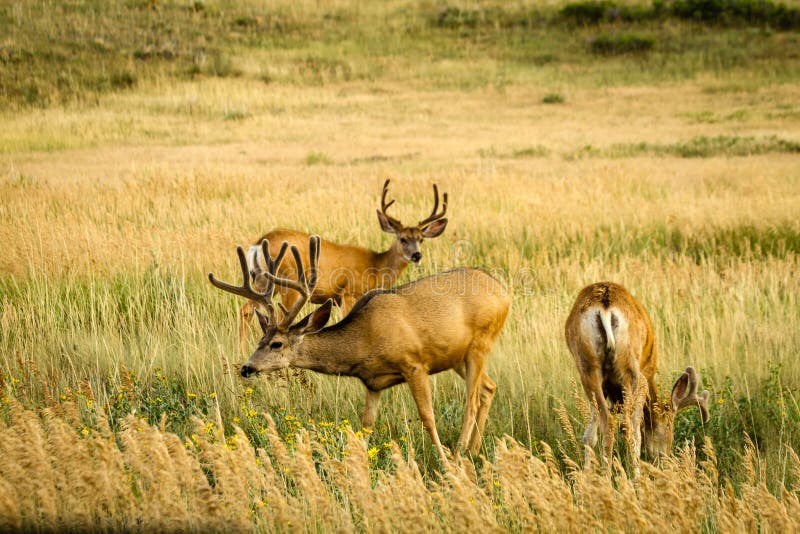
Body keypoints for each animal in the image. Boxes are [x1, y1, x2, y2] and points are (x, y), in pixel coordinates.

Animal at [209, 235, 510, 463]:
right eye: (259, 340)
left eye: (277, 343)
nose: (247, 368)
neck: (364, 340)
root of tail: (503, 292)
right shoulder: (373, 382)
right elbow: (366, 425)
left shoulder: (414, 364)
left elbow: (428, 417)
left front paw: (444, 461)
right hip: (457, 357)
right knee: (489, 388)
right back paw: (474, 451)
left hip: (480, 343)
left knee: (471, 400)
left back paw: (459, 454)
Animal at [236, 179, 449, 351]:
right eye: (403, 239)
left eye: (421, 239)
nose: (416, 255)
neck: (377, 266)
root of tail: (258, 244)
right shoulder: (349, 293)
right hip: (289, 285)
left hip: (262, 283)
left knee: (246, 310)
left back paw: (242, 352)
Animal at [564, 282, 710, 476]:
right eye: (669, 426)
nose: (665, 457)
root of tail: (605, 305)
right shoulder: (643, 380)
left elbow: (590, 432)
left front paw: (587, 473)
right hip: (630, 369)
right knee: (628, 427)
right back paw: (633, 476)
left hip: (587, 365)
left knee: (606, 422)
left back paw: (604, 475)